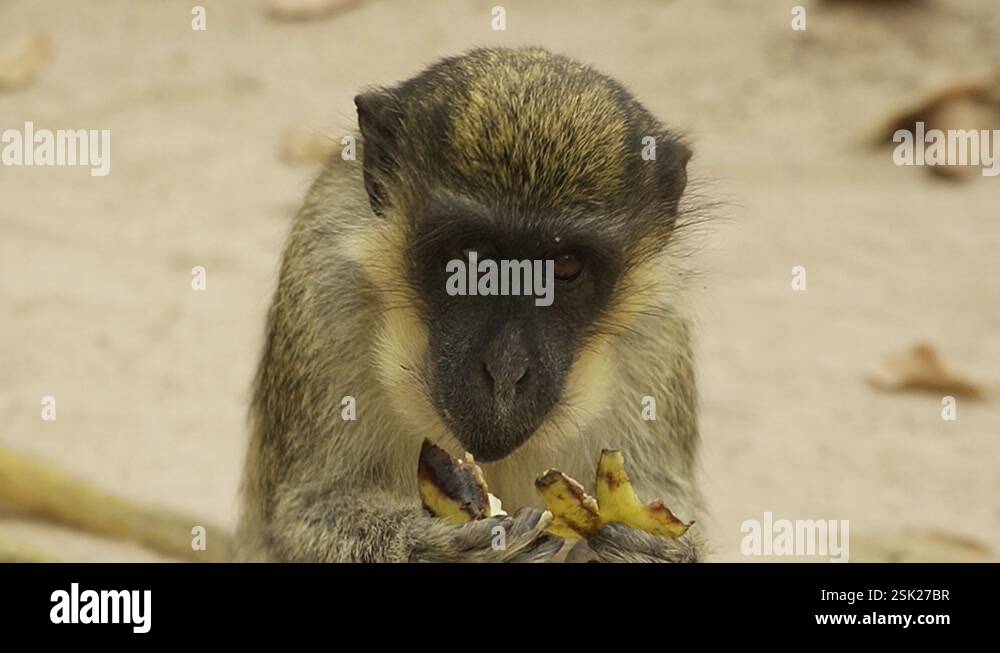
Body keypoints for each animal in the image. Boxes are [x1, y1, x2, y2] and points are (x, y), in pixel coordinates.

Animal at [237, 47, 707, 563]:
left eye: (564, 266)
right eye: (473, 257)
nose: (504, 372)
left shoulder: (657, 332)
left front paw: (649, 550)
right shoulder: (323, 279)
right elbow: (304, 510)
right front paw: (429, 548)